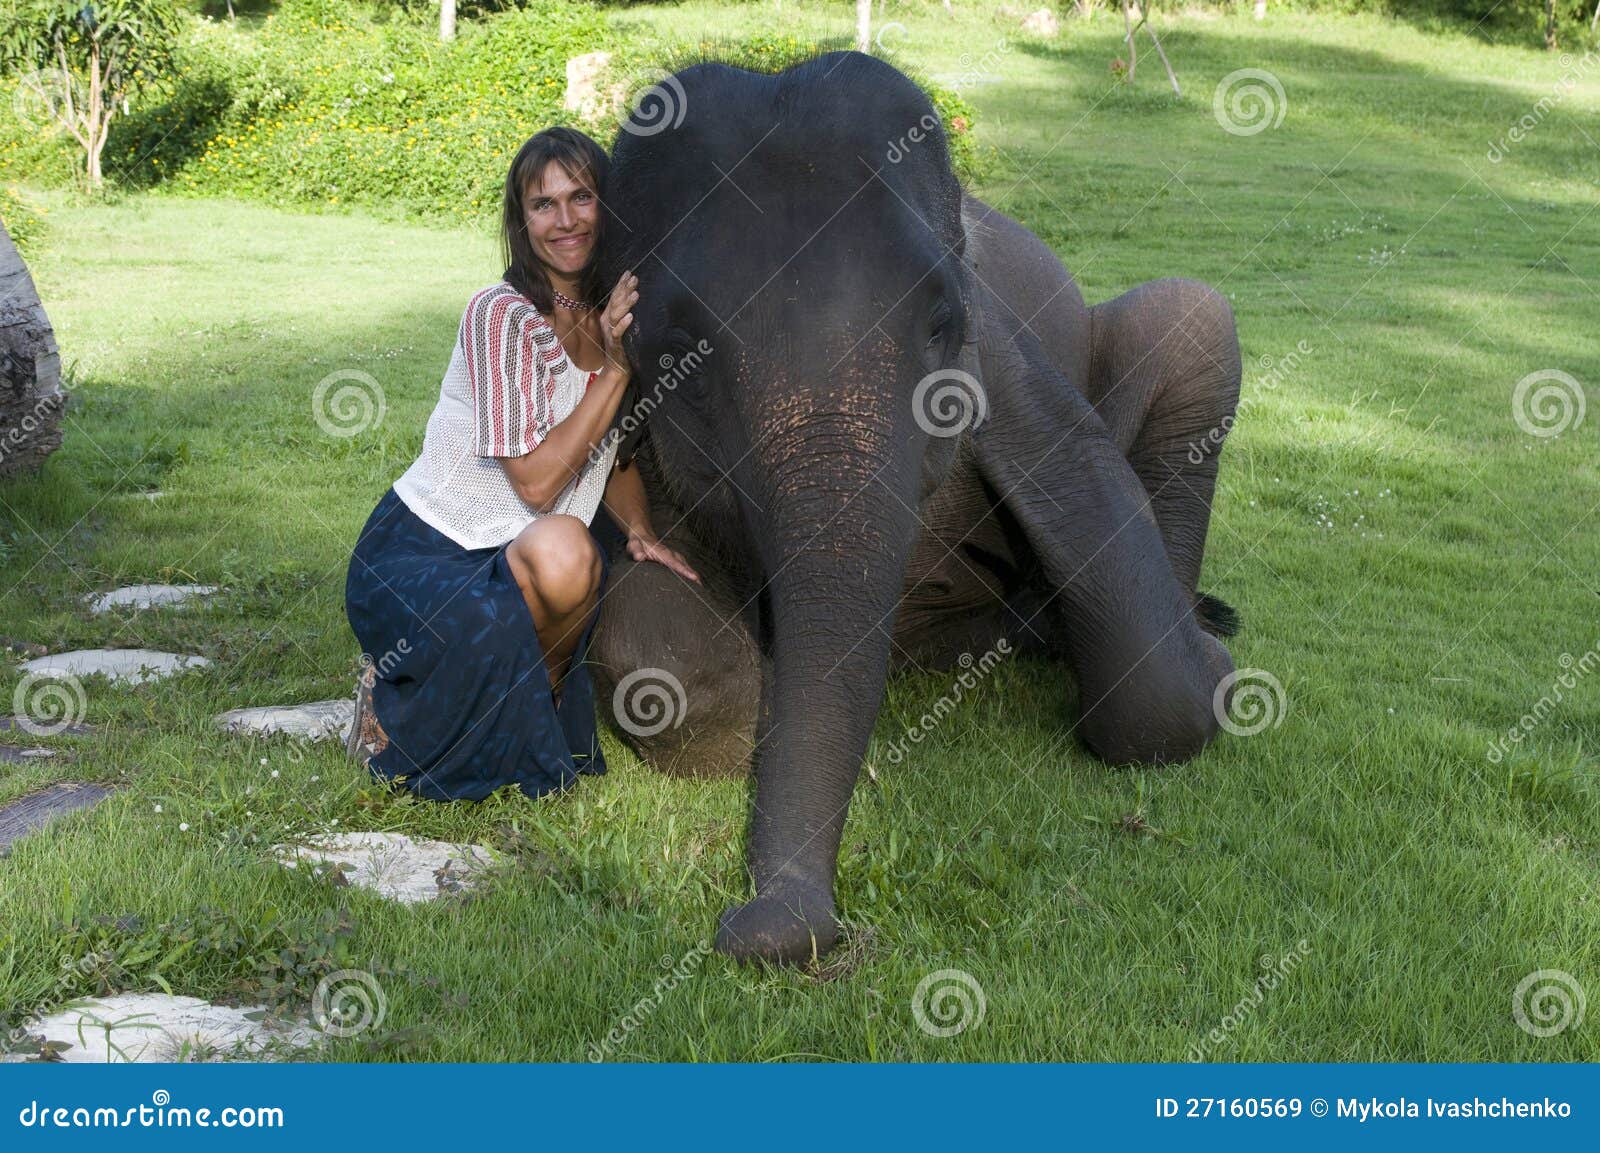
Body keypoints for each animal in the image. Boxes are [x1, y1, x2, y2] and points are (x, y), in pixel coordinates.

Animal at [588, 50, 1243, 964]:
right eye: (681, 351)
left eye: (943, 323)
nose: (768, 926)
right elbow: (658, 652)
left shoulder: (1004, 357)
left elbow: (1095, 504)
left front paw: (1212, 673)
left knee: (1195, 317)